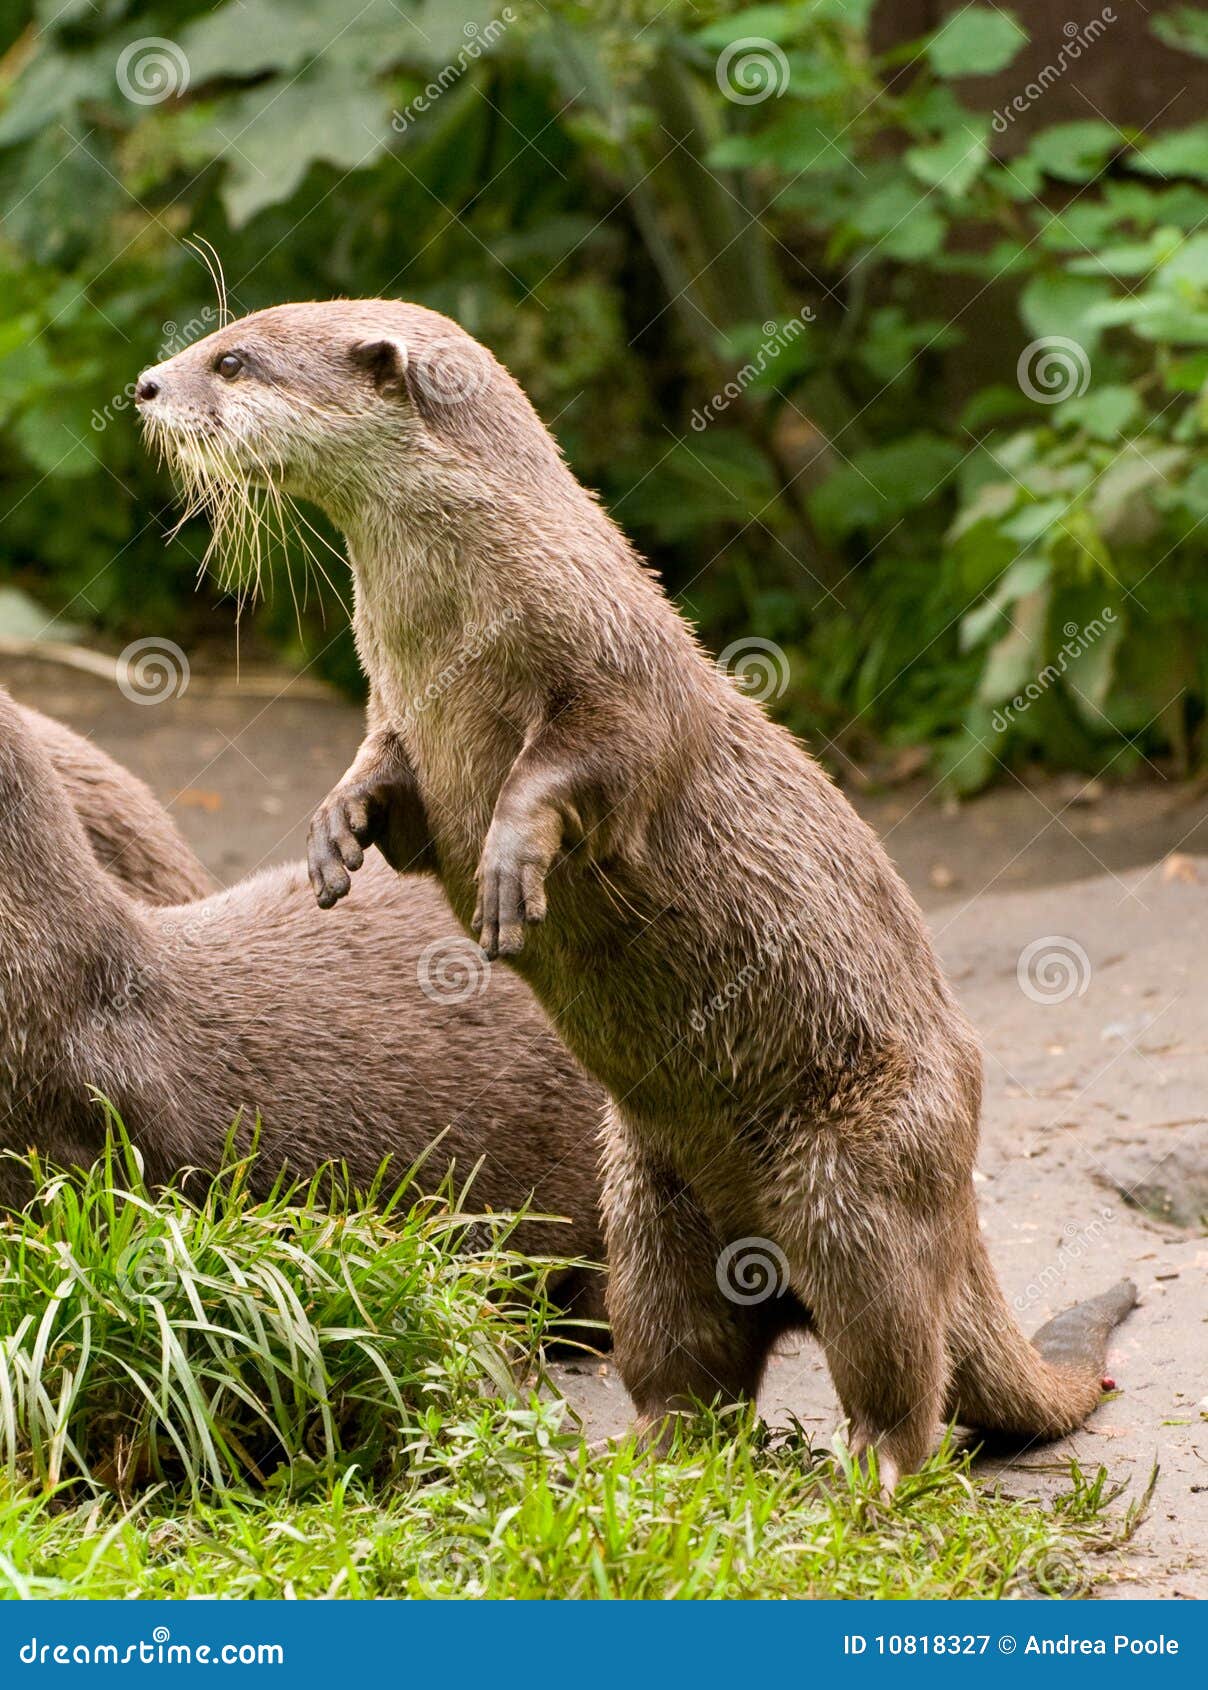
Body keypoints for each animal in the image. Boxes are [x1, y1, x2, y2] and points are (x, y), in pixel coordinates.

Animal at [137, 302, 1134, 1484]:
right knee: (687, 1364)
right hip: (646, 1199)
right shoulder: (399, 718)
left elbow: (588, 764)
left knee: (900, 1362)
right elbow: (387, 786)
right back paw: (648, 1456)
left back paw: (868, 1477)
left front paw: (513, 862)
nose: (146, 385)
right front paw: (333, 830)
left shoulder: (615, 675)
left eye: (234, 357)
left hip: (867, 1170)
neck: (449, 645)